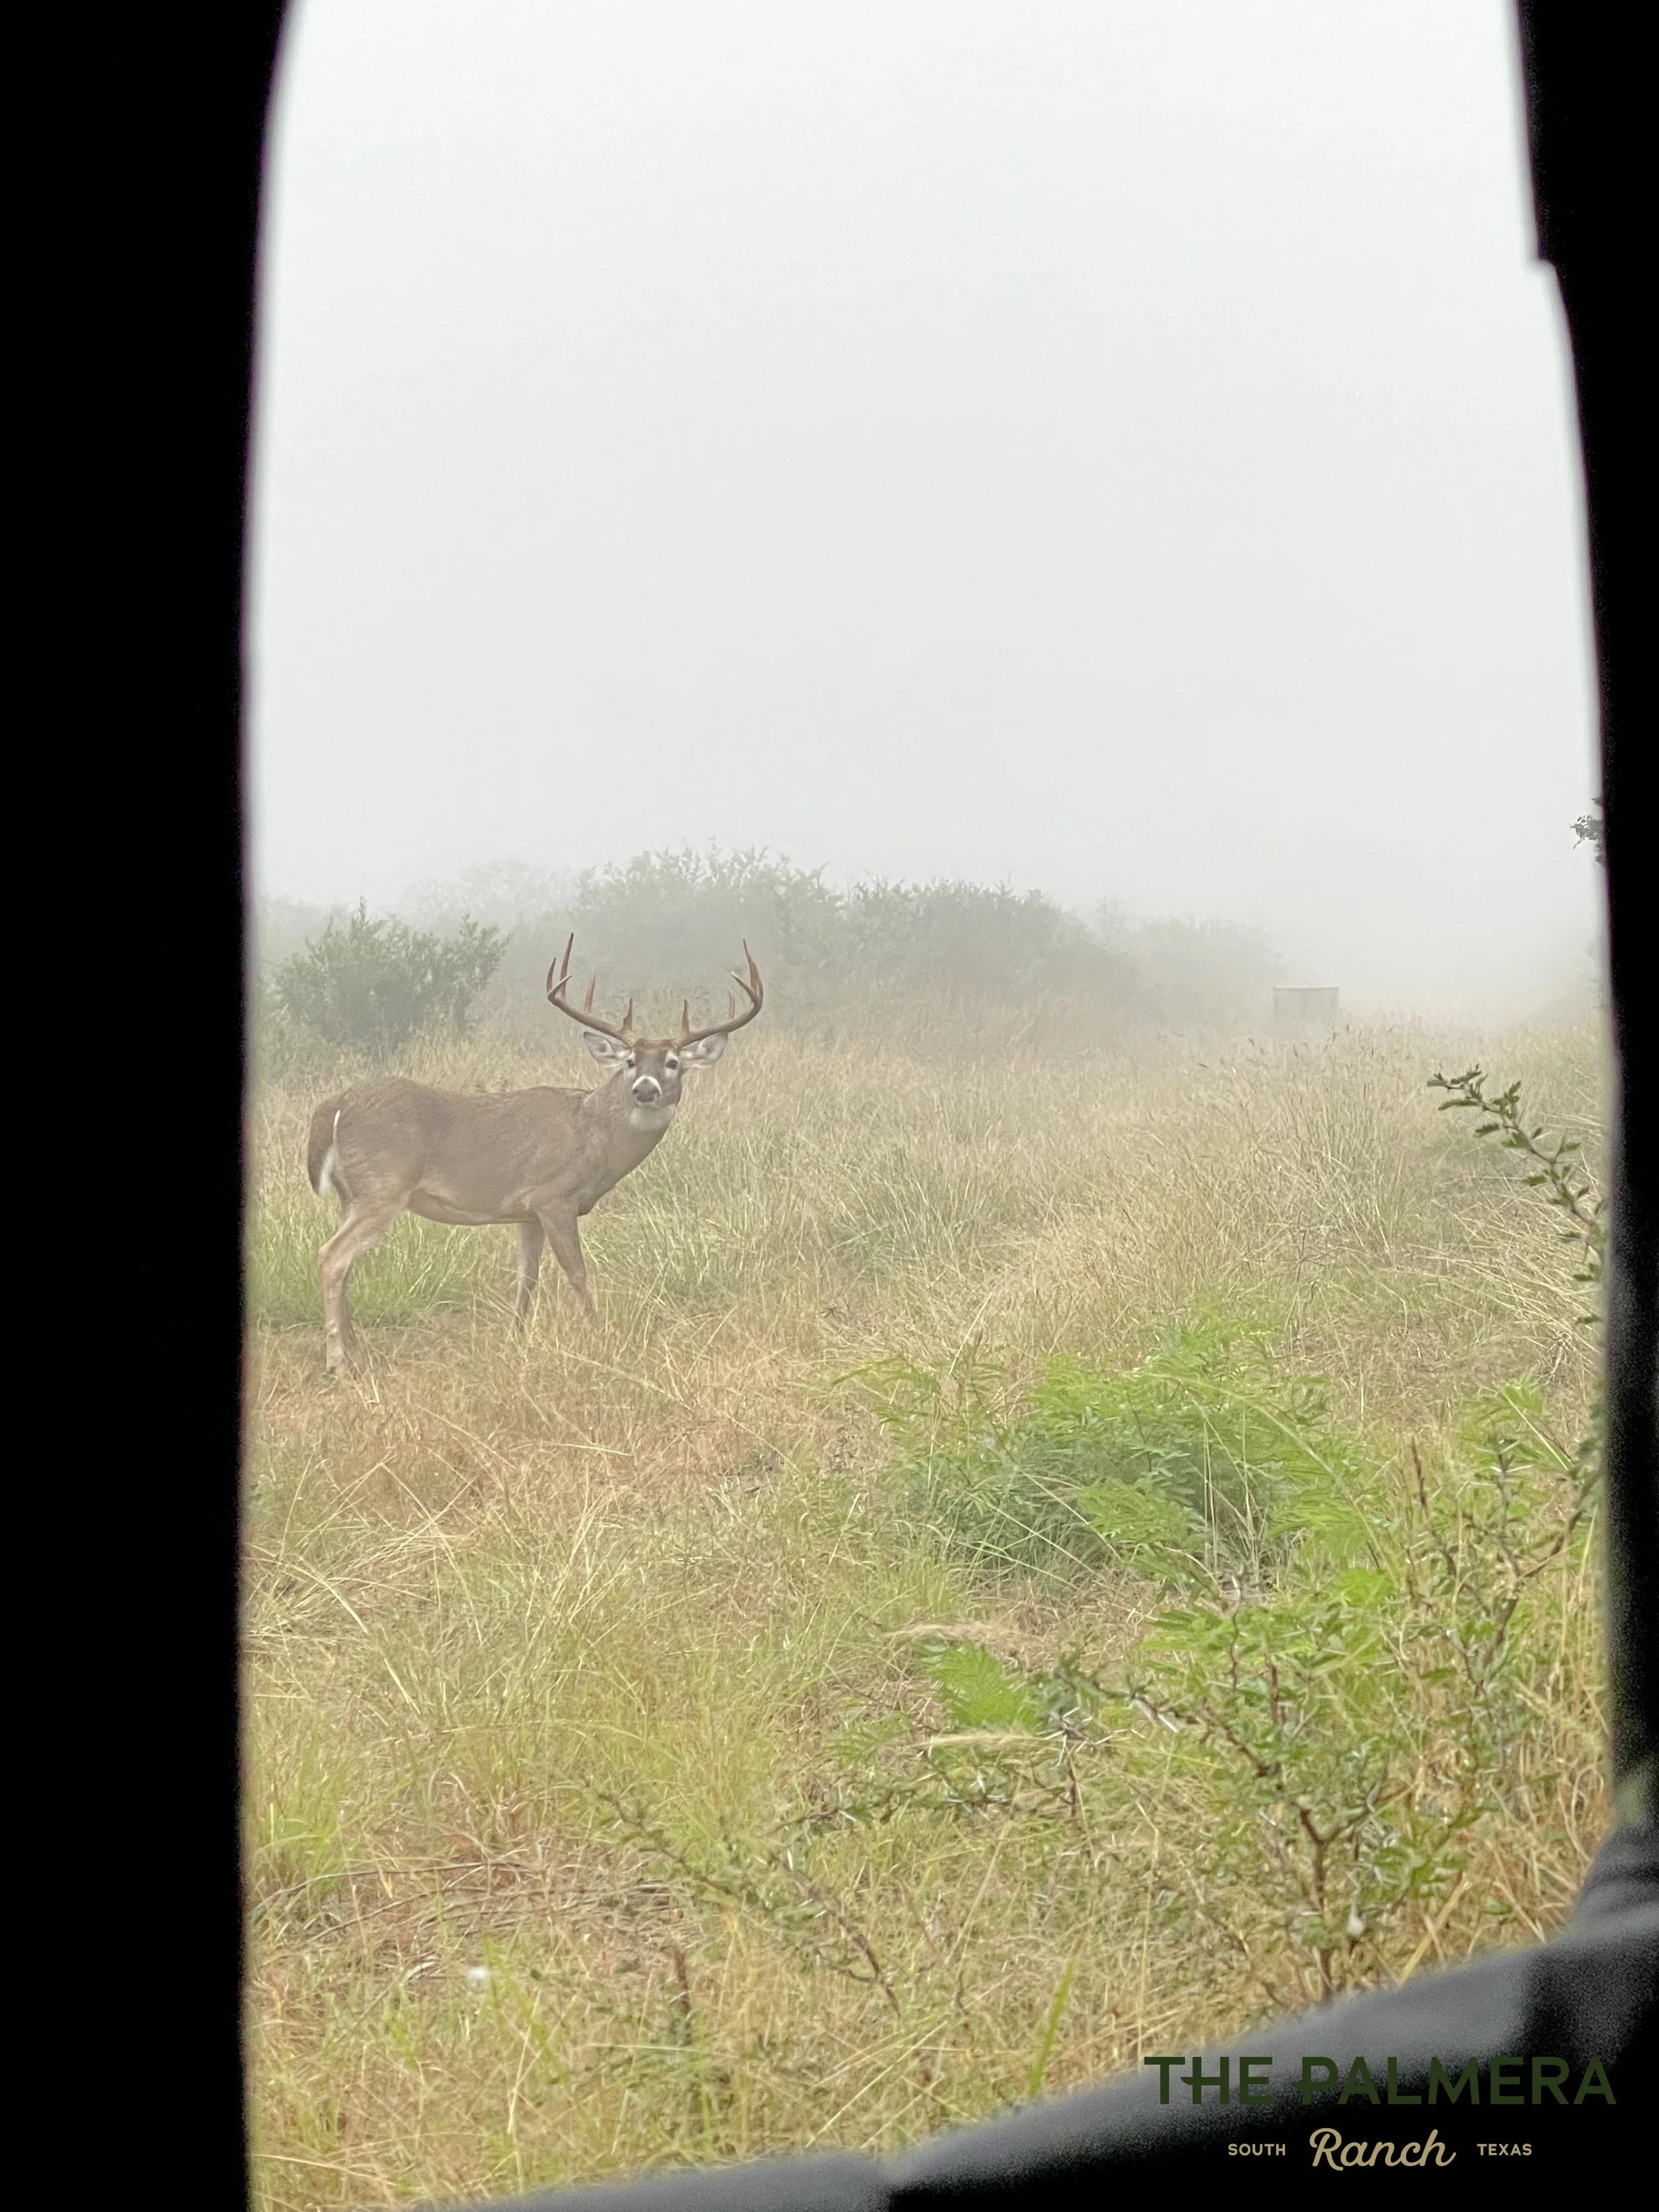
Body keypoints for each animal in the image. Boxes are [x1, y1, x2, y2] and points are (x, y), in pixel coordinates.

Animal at [304, 937, 763, 1374]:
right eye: (631, 1061)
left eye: (672, 1063)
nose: (645, 1090)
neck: (591, 1133)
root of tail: (335, 1106)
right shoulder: (554, 1196)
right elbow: (577, 1272)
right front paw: (599, 1334)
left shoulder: (527, 1212)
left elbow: (527, 1278)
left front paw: (517, 1338)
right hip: (383, 1187)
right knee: (331, 1257)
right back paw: (338, 1362)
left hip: (352, 1194)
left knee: (343, 1263)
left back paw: (356, 1352)